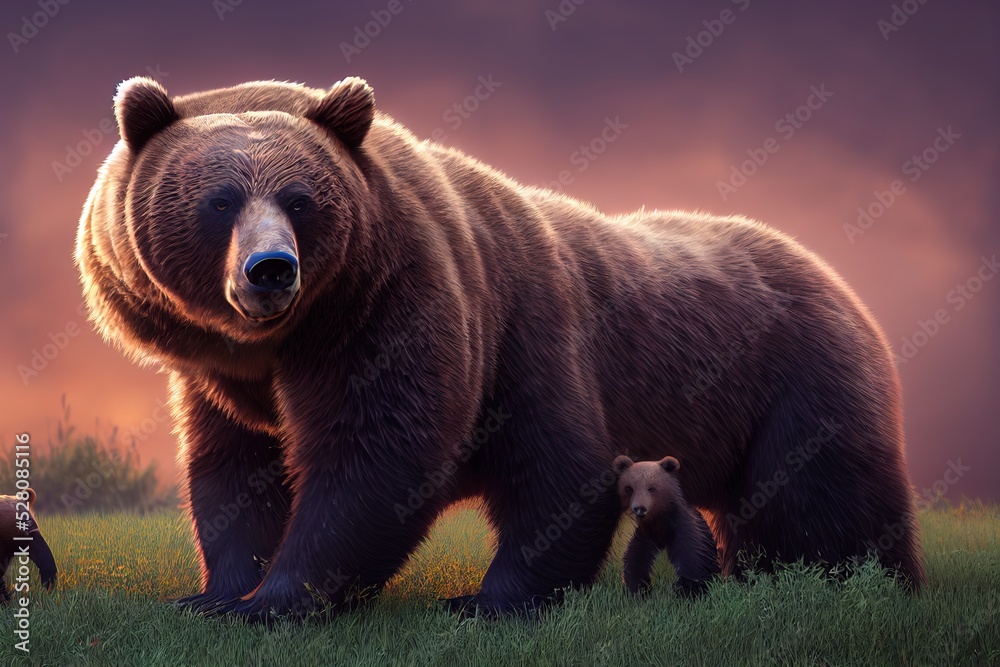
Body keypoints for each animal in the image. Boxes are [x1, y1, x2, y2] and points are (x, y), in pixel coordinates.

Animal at [613, 456, 720, 597]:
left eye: (651, 488)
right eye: (629, 488)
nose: (639, 508)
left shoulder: (684, 530)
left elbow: (693, 561)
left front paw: (687, 590)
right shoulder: (644, 536)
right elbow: (636, 560)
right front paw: (639, 589)